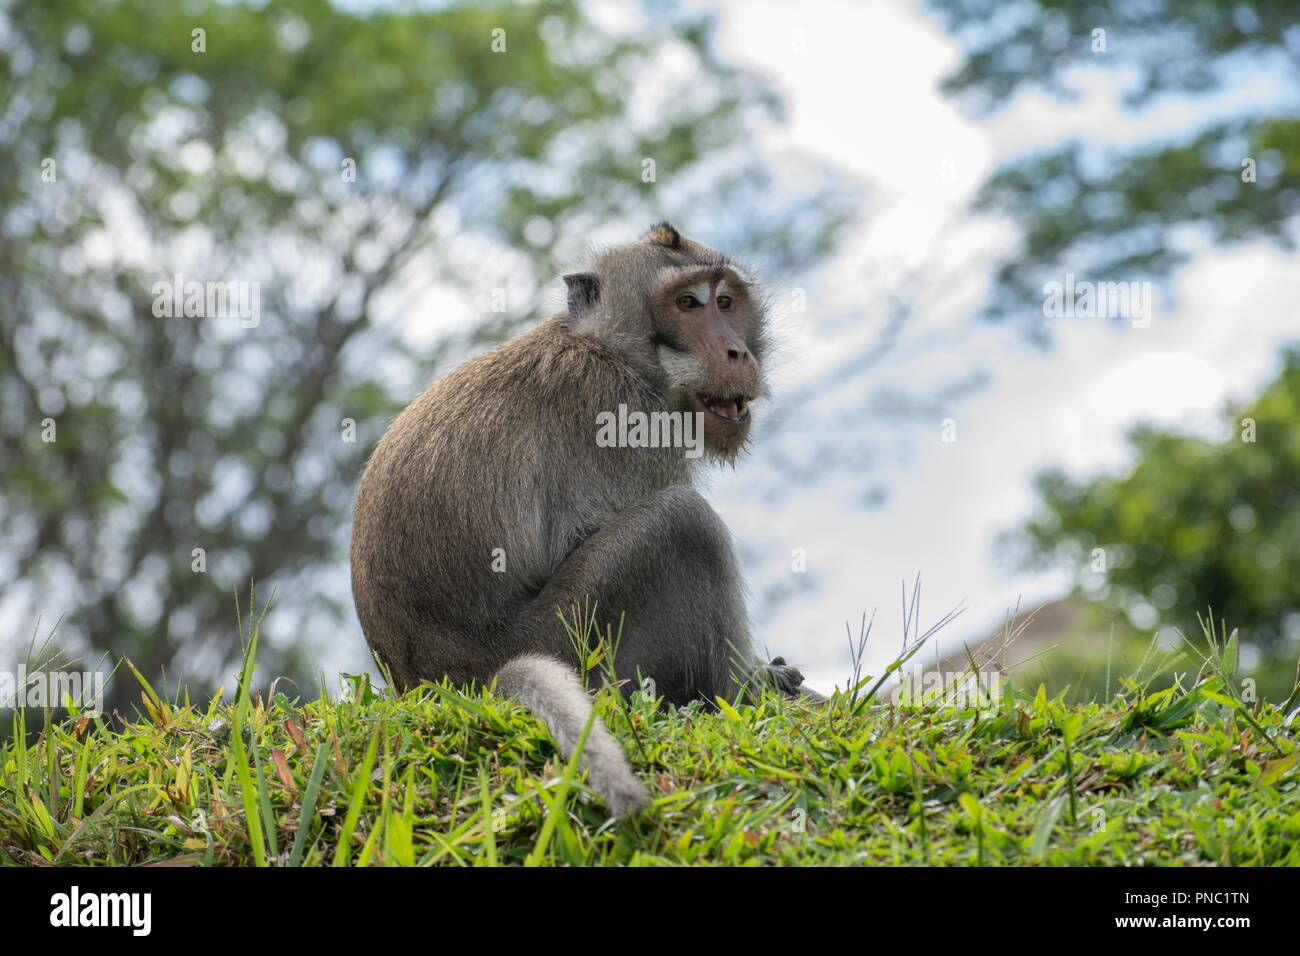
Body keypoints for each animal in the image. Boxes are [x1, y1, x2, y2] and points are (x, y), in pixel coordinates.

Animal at [350, 222, 818, 817]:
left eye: (726, 301)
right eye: (687, 304)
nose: (736, 349)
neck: (613, 352)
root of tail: (457, 684)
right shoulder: (628, 424)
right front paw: (759, 683)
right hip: (574, 642)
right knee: (683, 524)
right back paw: (743, 692)